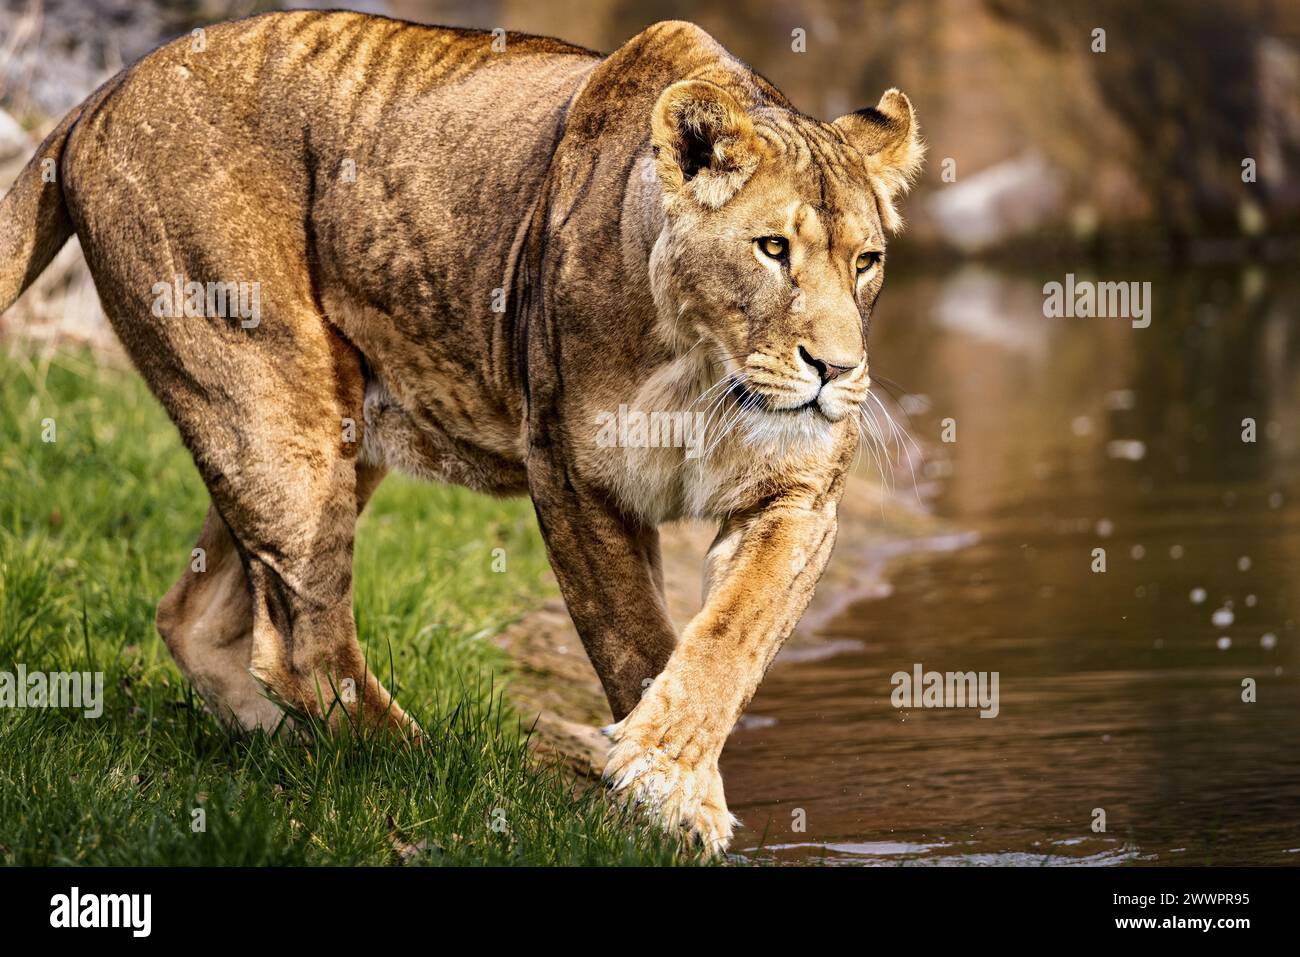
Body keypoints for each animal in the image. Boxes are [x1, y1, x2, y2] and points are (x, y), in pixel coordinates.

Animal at [0, 12, 922, 853]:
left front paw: (671, 780)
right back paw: (422, 766)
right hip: (269, 396)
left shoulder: (797, 496)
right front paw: (663, 794)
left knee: (198, 616)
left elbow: (728, 641)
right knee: (302, 640)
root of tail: (104, 93)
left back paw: (291, 751)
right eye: (771, 248)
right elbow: (636, 641)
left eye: (866, 262)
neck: (706, 373)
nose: (837, 369)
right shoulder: (573, 479)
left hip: (312, 423)